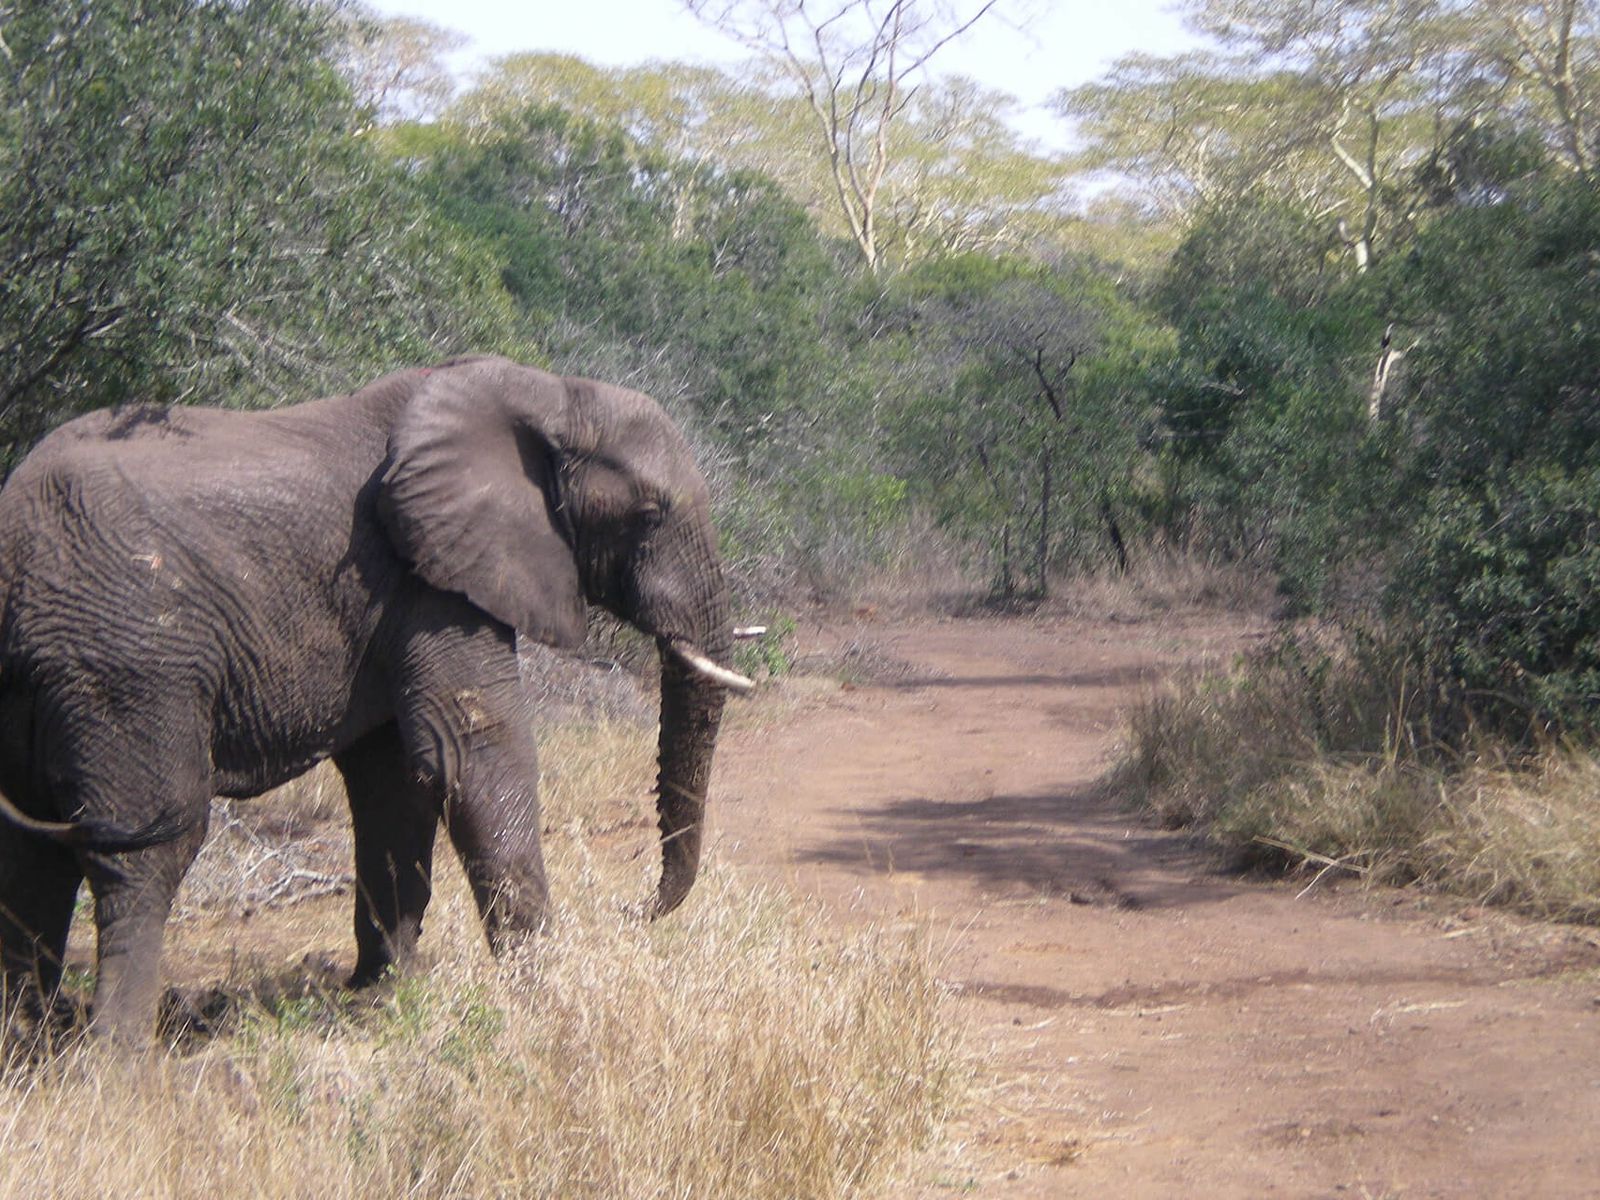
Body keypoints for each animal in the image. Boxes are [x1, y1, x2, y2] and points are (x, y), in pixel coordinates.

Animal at [0, 355, 752, 1046]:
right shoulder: (431, 578)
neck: (543, 393)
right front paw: (549, 994)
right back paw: (119, 1064)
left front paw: (382, 998)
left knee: (30, 859)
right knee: (146, 849)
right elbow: (477, 757)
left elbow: (395, 783)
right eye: (649, 514)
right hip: (126, 665)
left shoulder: (398, 591)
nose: (633, 908)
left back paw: (27, 1045)